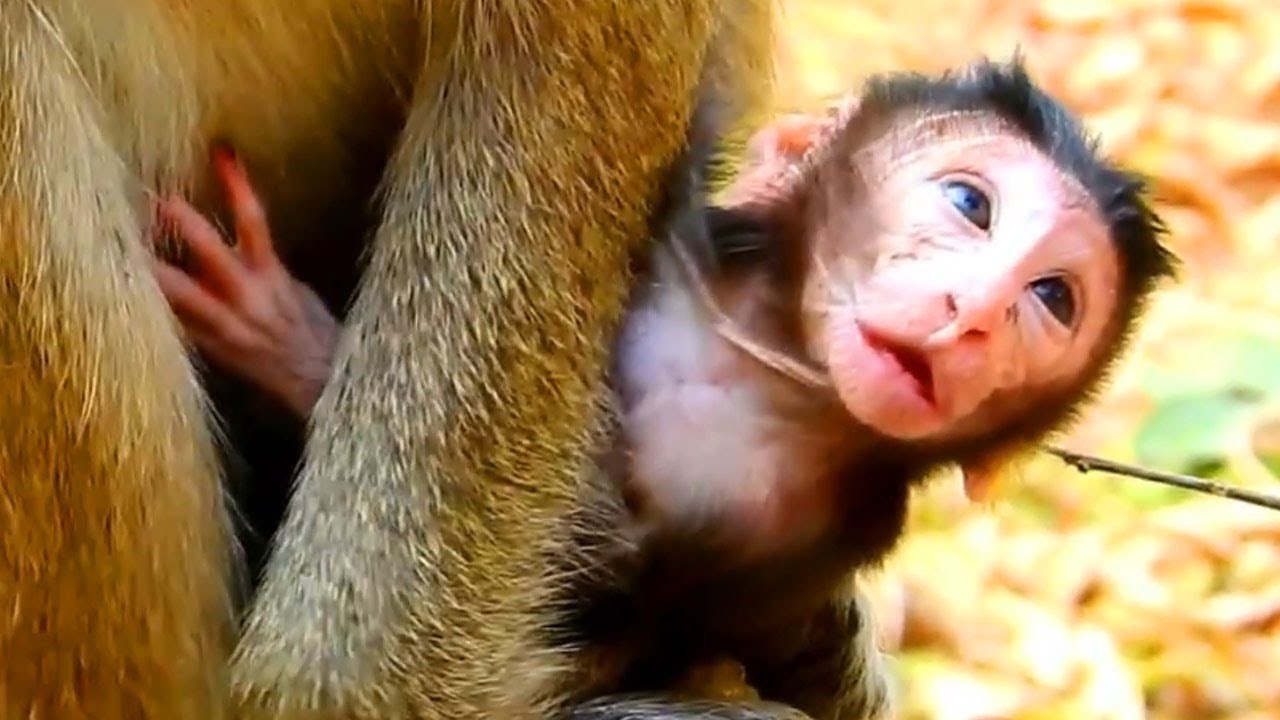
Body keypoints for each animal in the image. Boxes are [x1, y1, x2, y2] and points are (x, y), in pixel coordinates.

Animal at [147, 58, 1177, 719]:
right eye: (970, 203)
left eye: (1052, 298)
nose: (982, 313)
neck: (757, 353)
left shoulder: (785, 511)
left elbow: (599, 565)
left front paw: (287, 337)